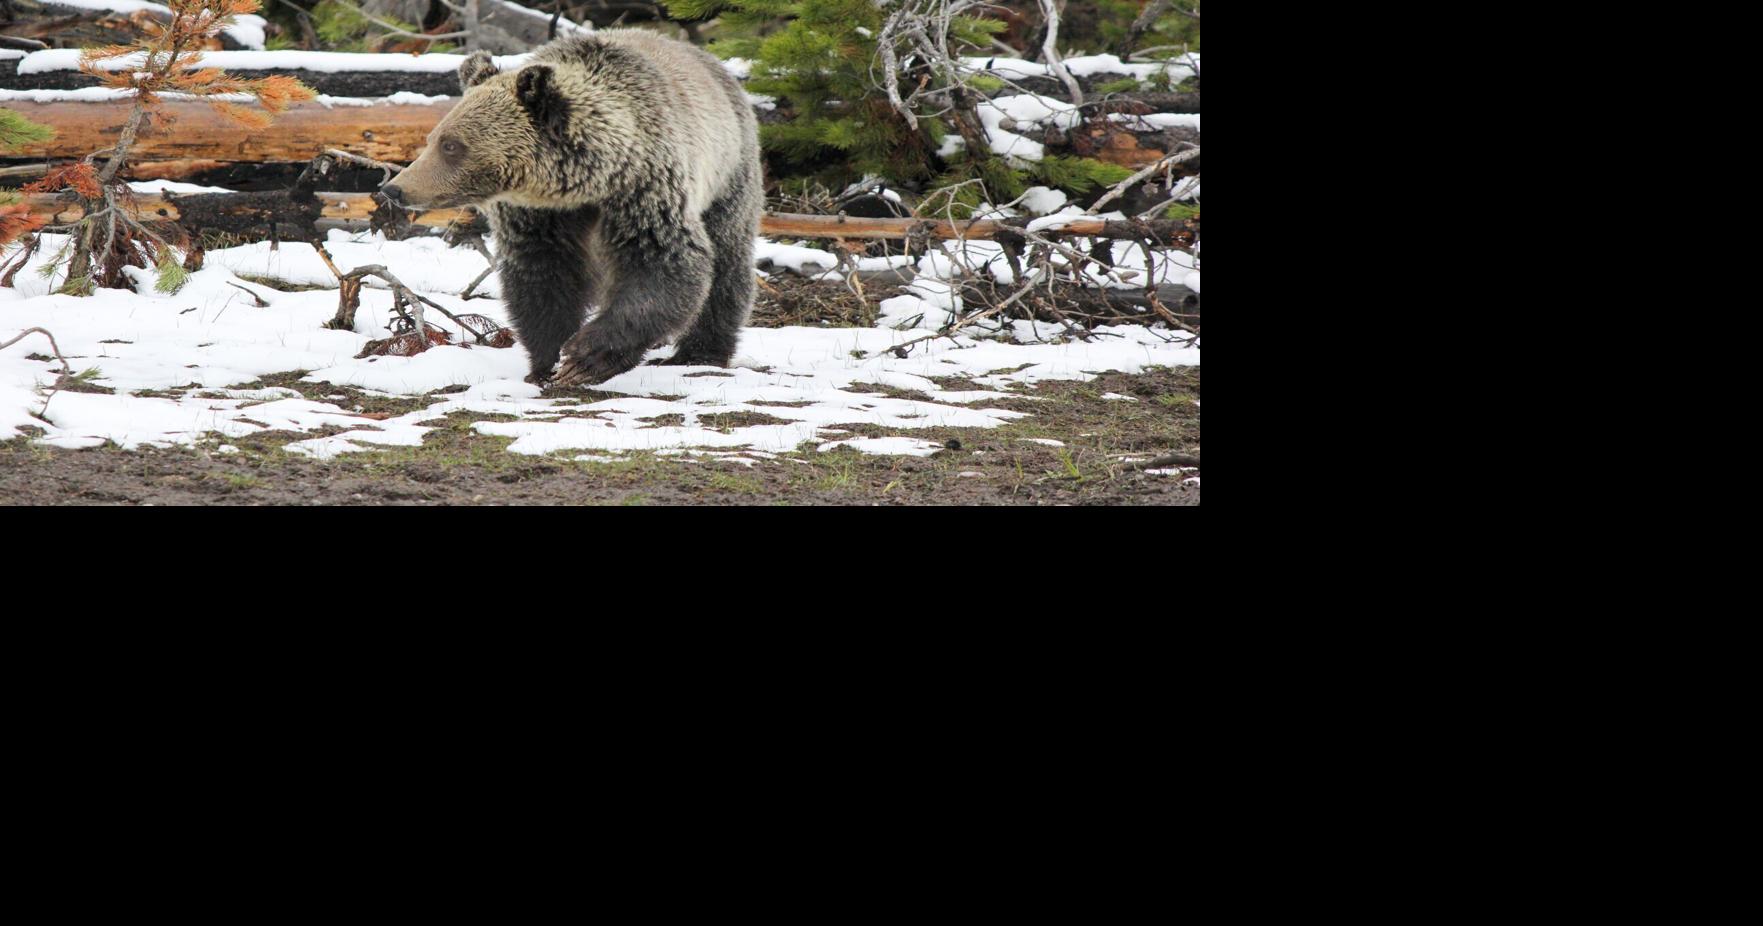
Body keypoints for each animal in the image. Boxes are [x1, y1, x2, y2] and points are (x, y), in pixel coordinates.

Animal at [381, 30, 763, 387]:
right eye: (433, 138)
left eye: (451, 145)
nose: (394, 188)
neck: (583, 185)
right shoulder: (540, 217)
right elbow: (544, 277)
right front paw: (547, 362)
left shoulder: (643, 190)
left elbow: (665, 265)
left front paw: (586, 357)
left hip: (728, 174)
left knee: (728, 262)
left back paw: (701, 352)